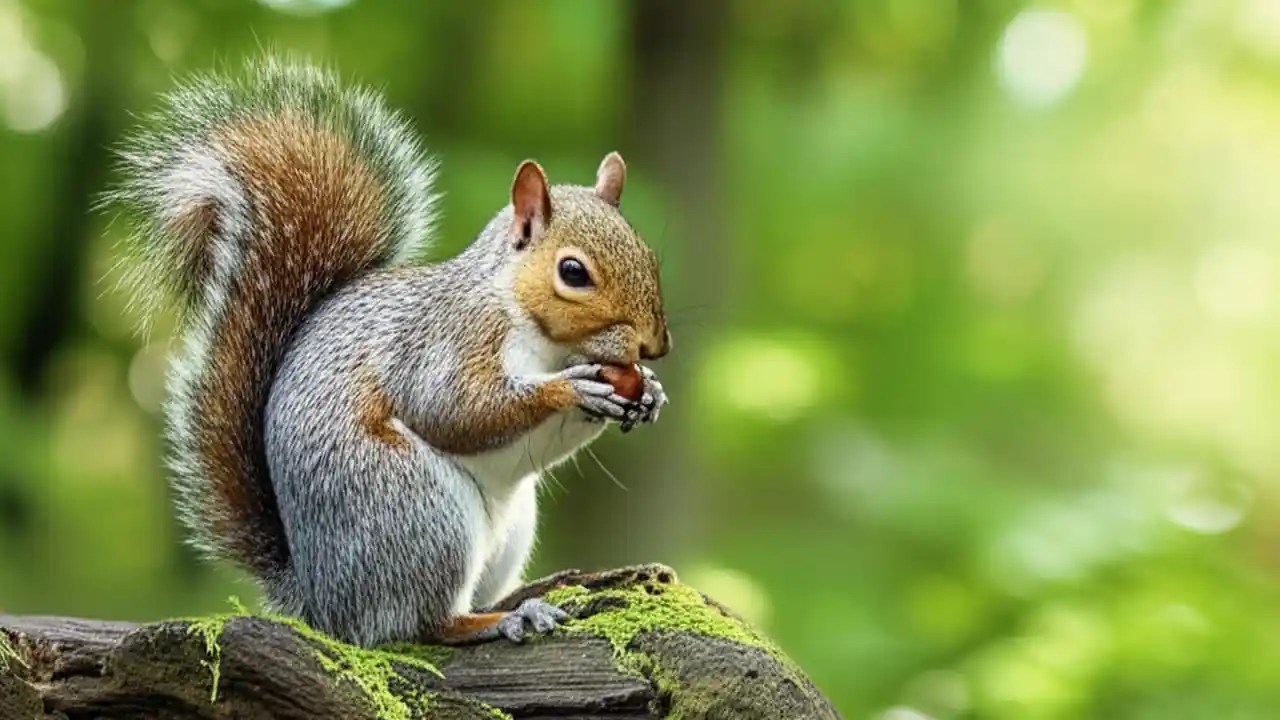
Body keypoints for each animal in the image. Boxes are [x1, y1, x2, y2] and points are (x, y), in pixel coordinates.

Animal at [111, 58, 670, 647]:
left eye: (648, 254)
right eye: (573, 272)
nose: (655, 345)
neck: (540, 335)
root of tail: (323, 605)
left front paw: (648, 393)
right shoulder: (447, 339)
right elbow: (457, 411)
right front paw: (573, 389)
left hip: (506, 529)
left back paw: (528, 594)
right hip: (415, 509)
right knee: (426, 623)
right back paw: (505, 618)